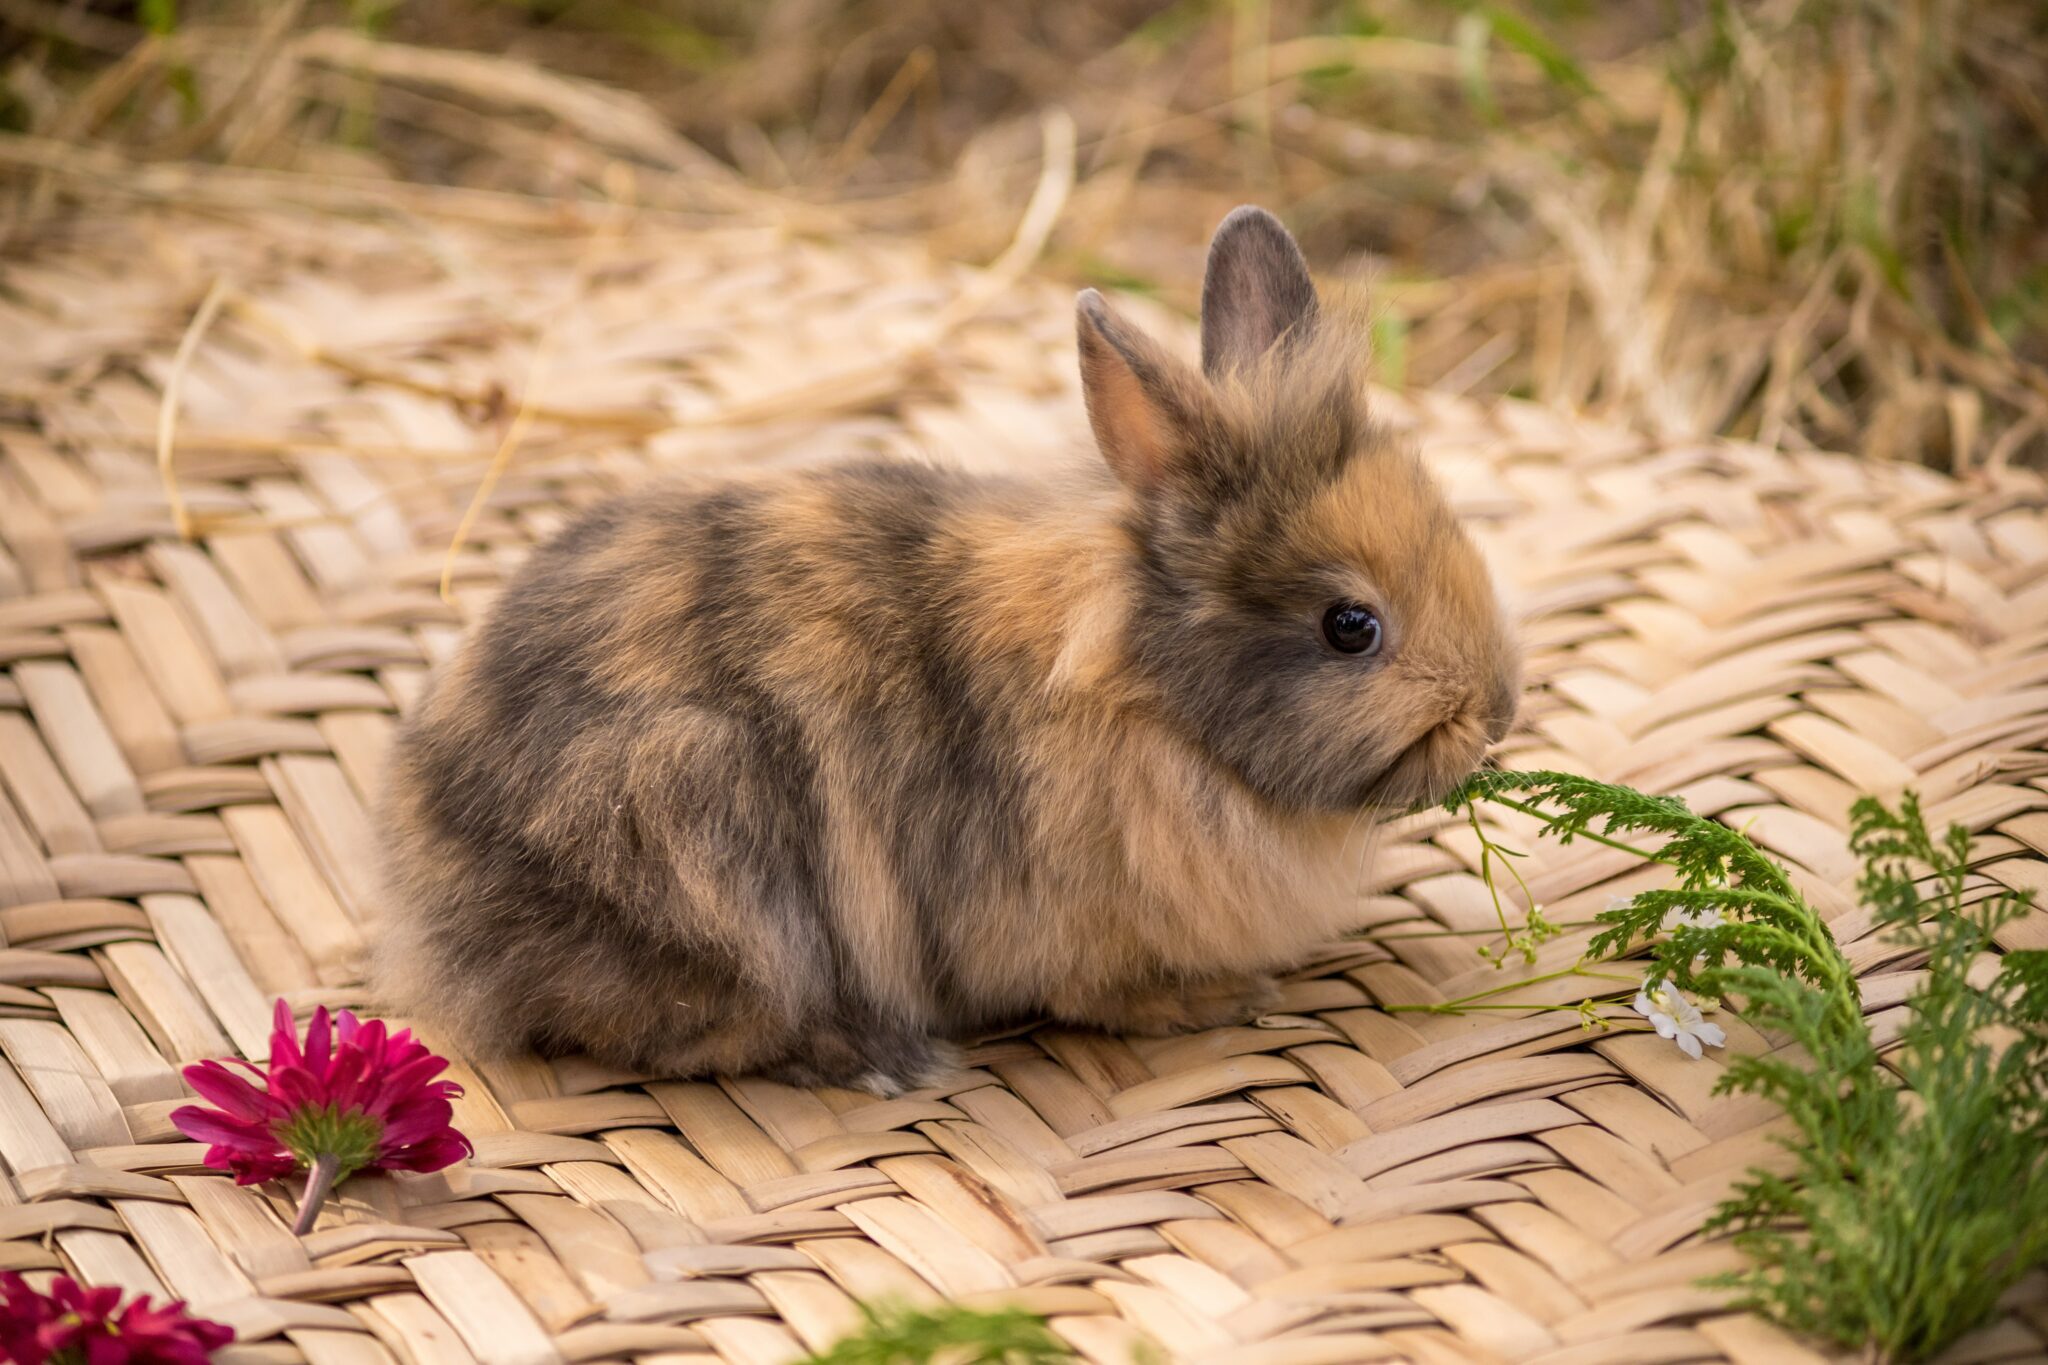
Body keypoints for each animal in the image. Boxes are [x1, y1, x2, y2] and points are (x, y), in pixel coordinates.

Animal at [377, 206, 1521, 1095]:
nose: (1497, 714)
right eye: (1349, 627)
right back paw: (872, 1055)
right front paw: (1220, 997)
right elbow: (1104, 993)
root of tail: (430, 903)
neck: (1154, 705)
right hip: (688, 835)